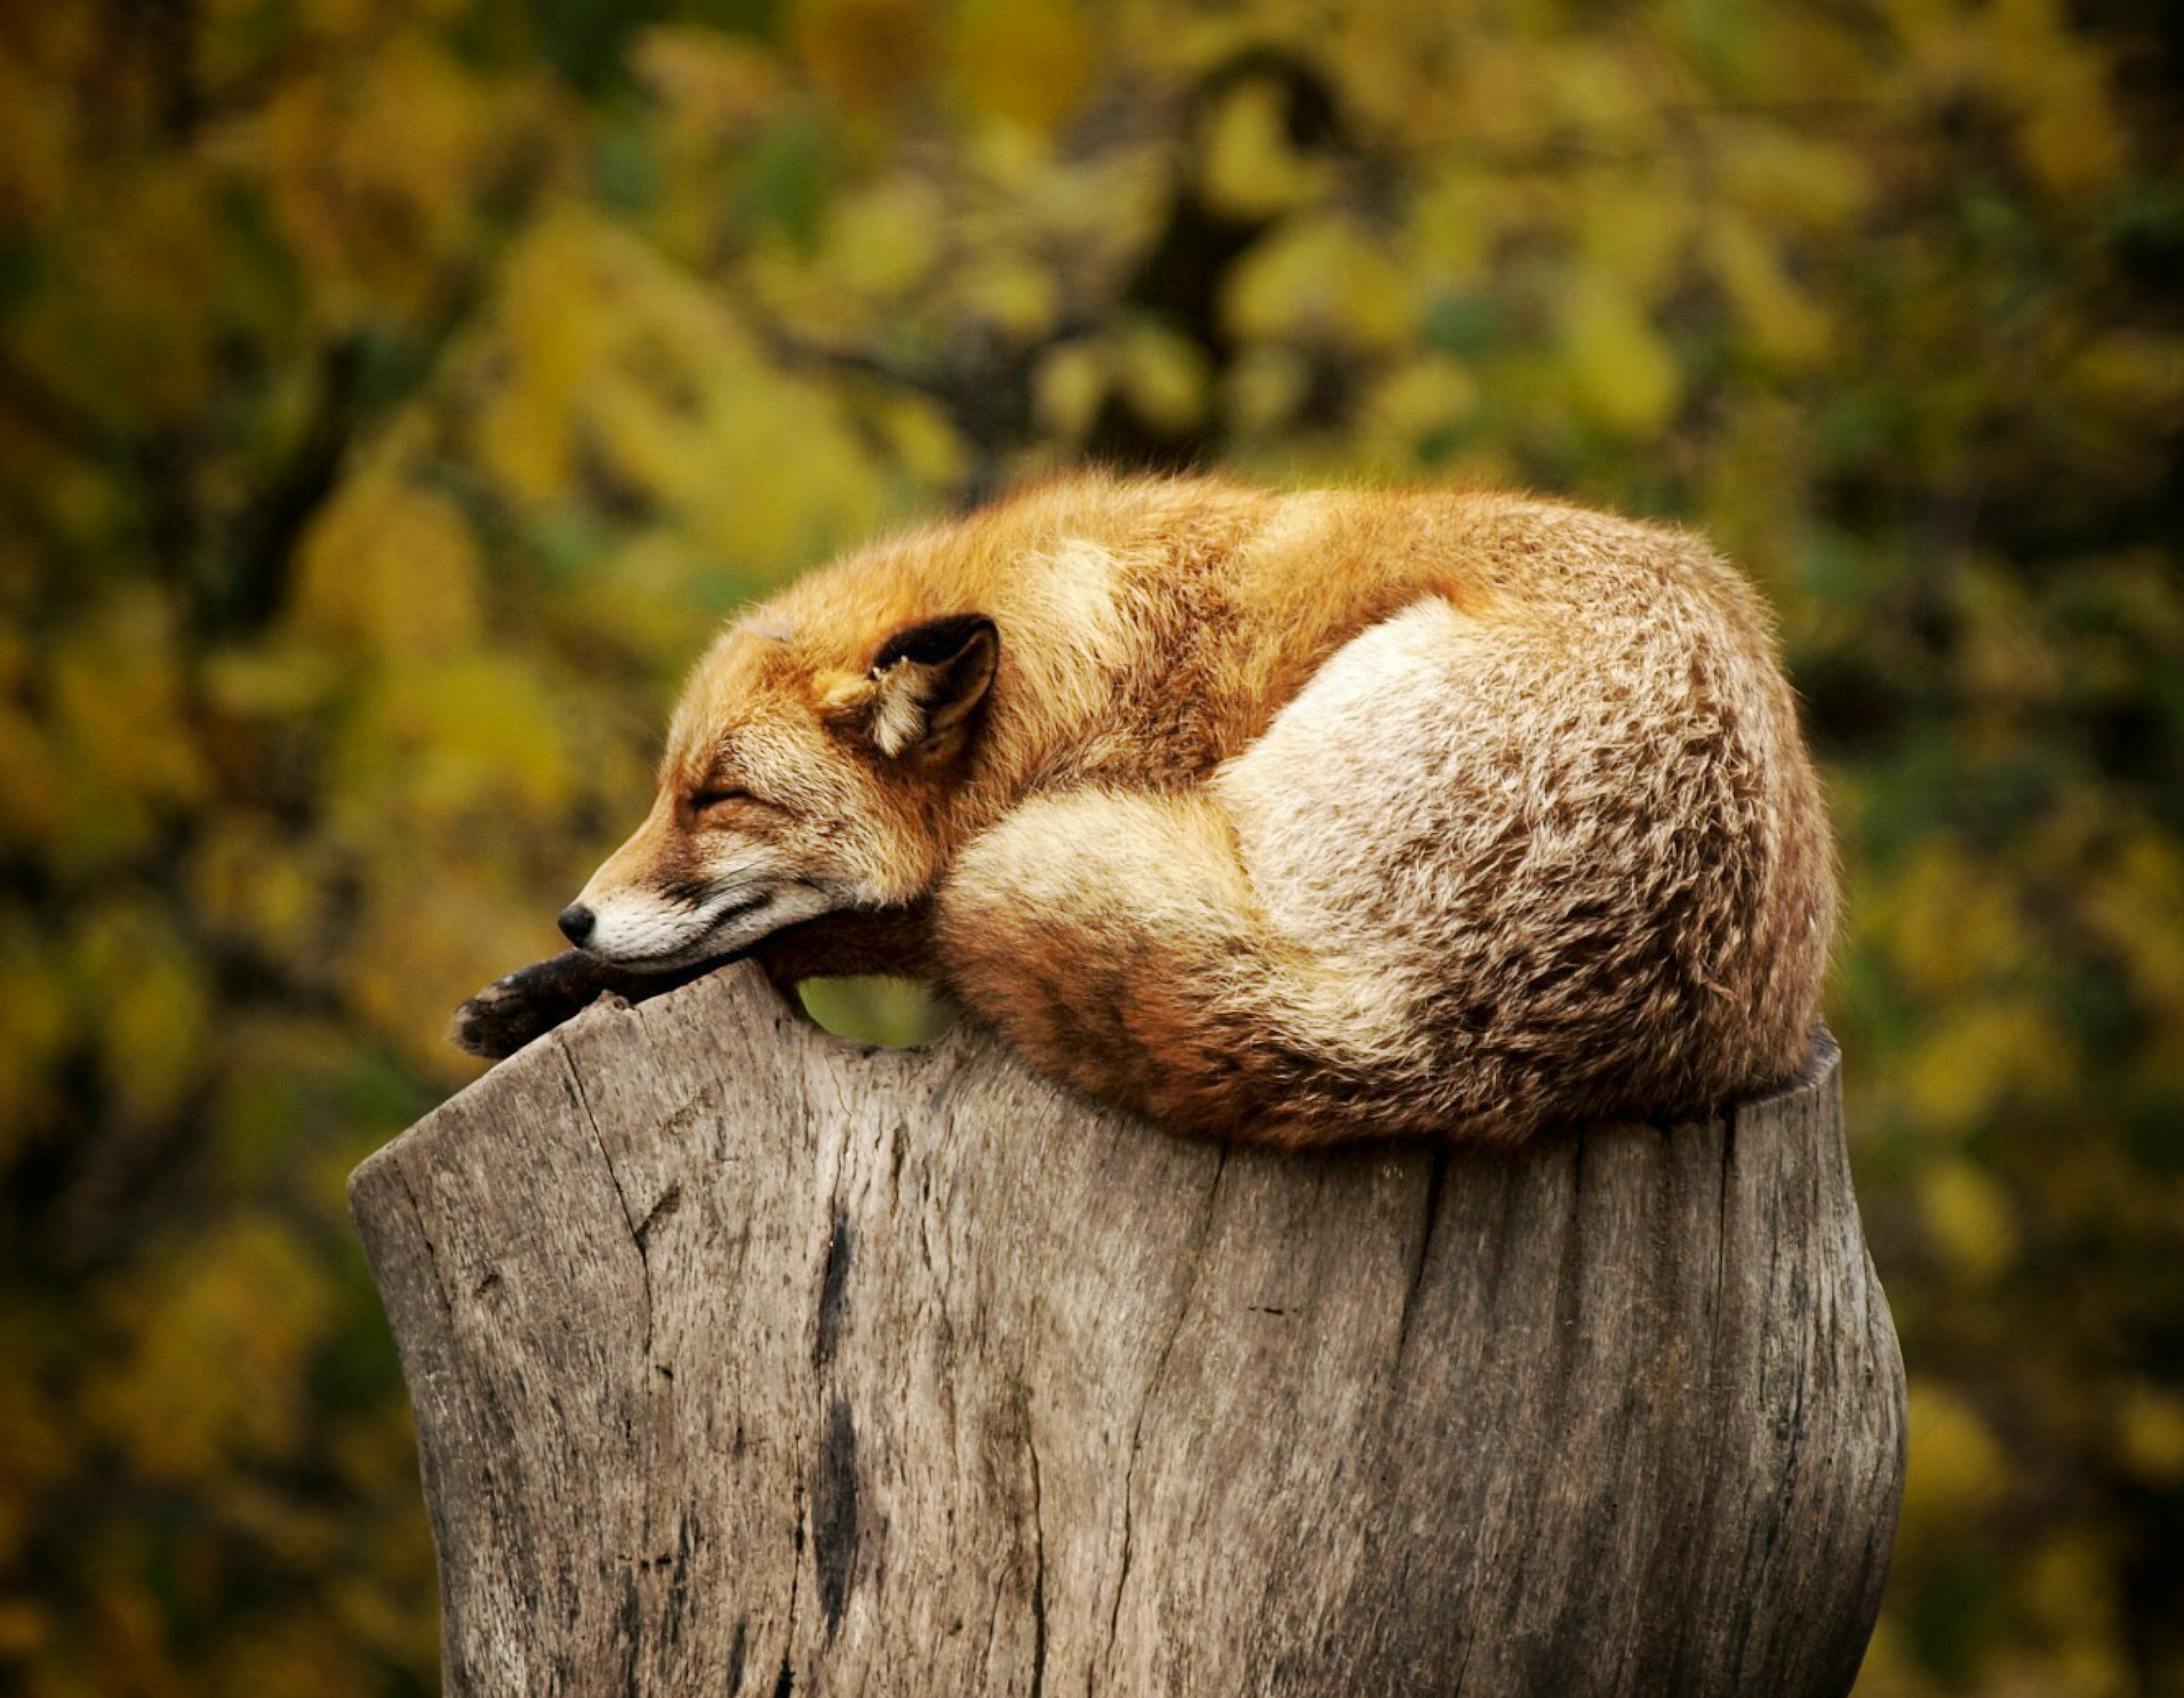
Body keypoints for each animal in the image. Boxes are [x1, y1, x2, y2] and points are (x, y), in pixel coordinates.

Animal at [454, 471, 1836, 1146]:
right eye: (666, 790)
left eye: (720, 797)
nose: (575, 918)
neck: (1081, 666)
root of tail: (1443, 1033)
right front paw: (540, 987)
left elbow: (824, 932)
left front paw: (557, 990)